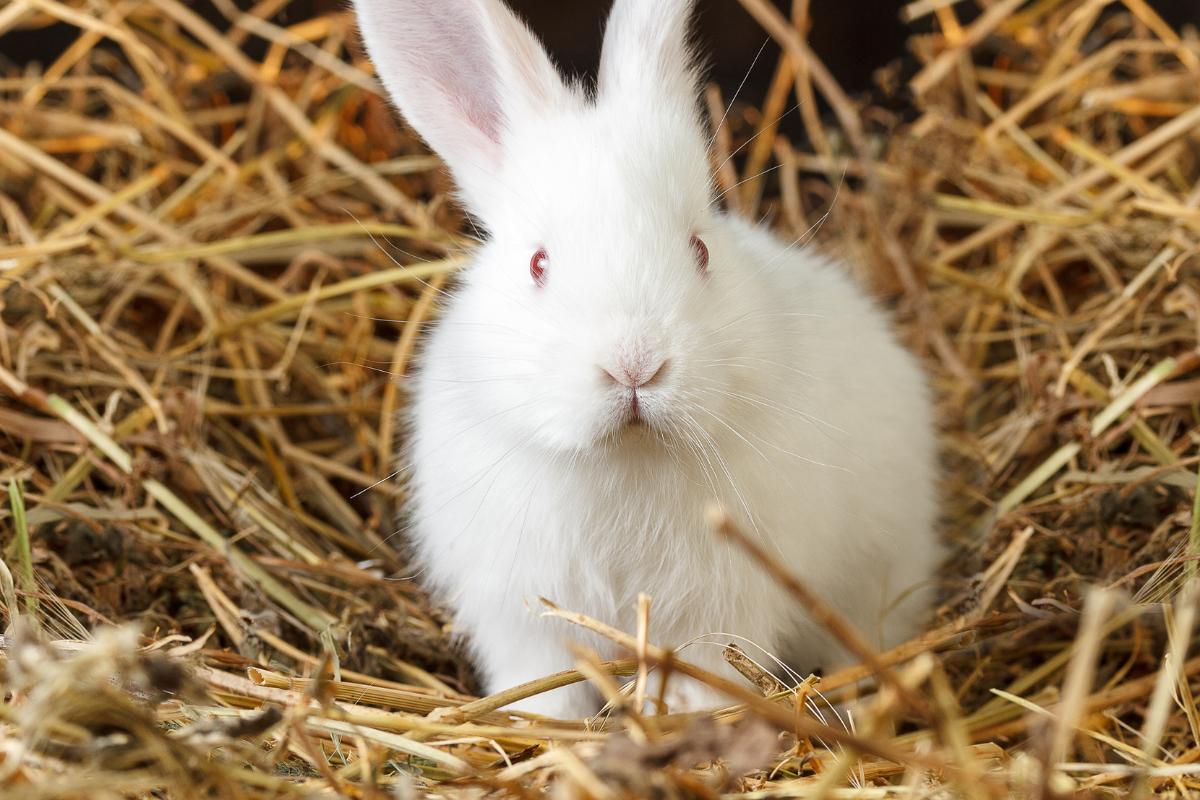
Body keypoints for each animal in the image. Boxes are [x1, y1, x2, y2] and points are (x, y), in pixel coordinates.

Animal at [353, 0, 941, 719]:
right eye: (538, 263)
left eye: (700, 250)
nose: (634, 365)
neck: (627, 458)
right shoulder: (525, 616)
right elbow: (547, 682)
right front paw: (535, 722)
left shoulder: (723, 607)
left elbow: (708, 671)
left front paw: (689, 717)